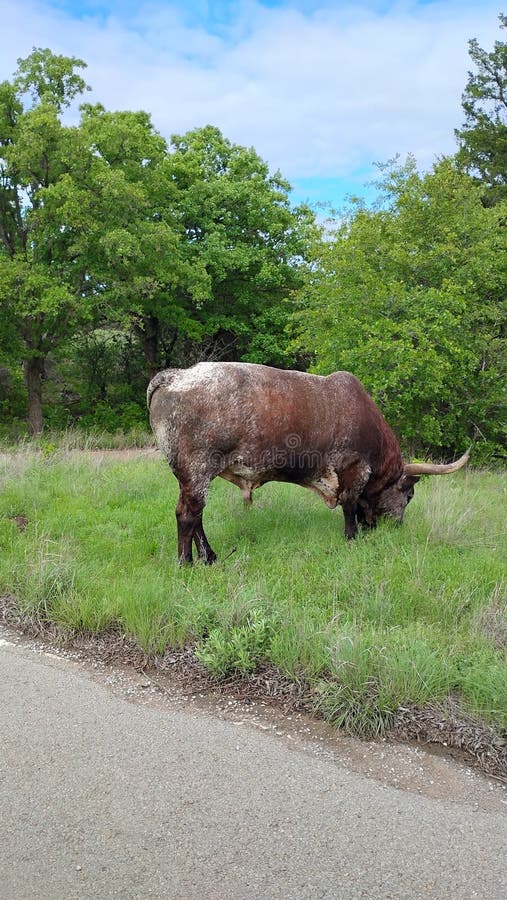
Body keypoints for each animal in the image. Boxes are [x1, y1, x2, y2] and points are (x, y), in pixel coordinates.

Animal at [147, 362, 470, 564]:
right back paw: (187, 562)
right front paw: (351, 538)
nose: (397, 526)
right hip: (198, 469)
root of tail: (176, 376)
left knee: (196, 516)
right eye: (410, 495)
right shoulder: (353, 467)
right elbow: (350, 504)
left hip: (191, 476)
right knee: (188, 515)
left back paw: (209, 557)